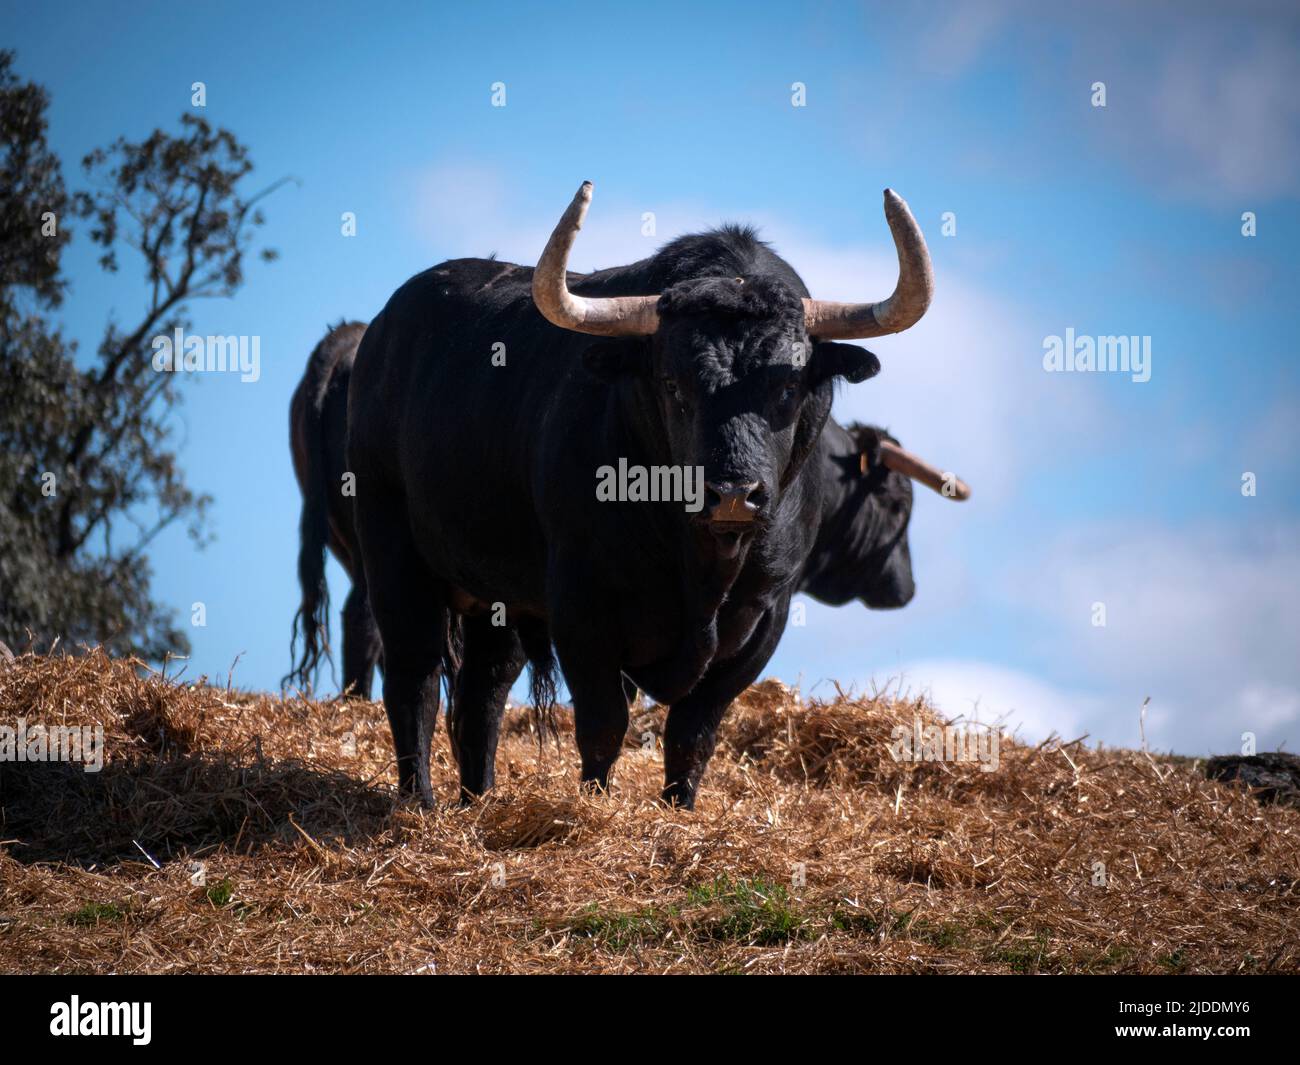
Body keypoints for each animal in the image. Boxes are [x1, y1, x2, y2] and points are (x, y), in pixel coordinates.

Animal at [347, 182, 934, 808]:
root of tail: (384, 329)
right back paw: (420, 802)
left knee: (483, 690)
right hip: (392, 547)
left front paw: (679, 807)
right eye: (673, 385)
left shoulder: (765, 617)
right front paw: (595, 805)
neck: (704, 566)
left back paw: (476, 800)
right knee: (413, 675)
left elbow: (693, 733)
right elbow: (604, 725)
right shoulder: (581, 607)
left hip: (494, 590)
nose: (732, 494)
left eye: (789, 386)